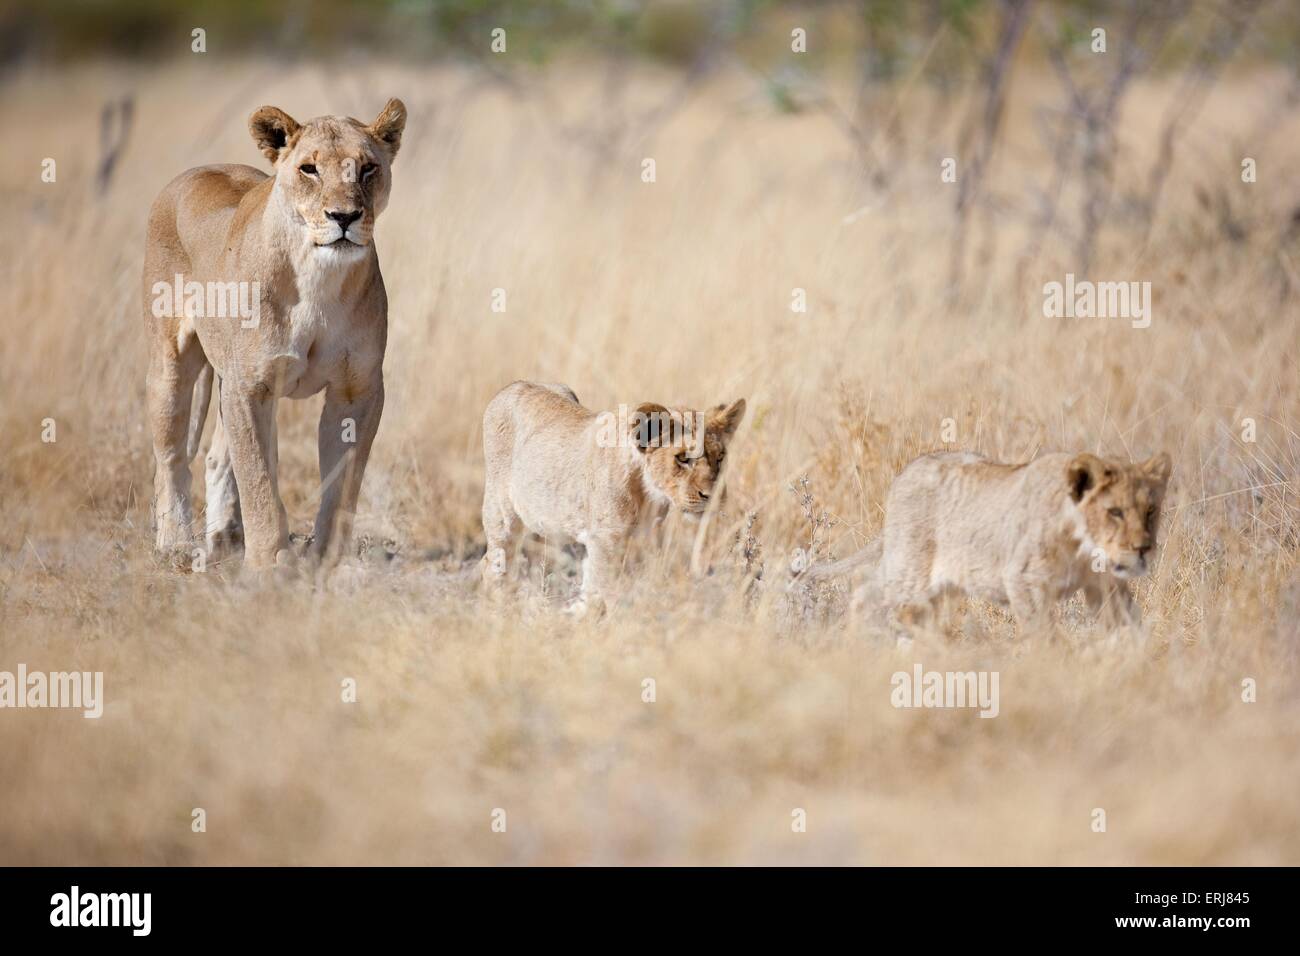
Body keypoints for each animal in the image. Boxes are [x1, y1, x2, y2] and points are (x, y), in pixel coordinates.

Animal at [142, 99, 407, 568]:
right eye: (310, 169)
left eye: (368, 168)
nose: (344, 217)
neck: (319, 276)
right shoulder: (249, 387)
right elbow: (259, 481)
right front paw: (268, 564)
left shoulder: (357, 390)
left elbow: (342, 483)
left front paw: (324, 559)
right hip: (171, 364)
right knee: (171, 454)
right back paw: (176, 543)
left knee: (217, 456)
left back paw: (224, 538)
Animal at [480, 381, 747, 613]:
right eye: (682, 458)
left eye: (720, 458)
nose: (712, 495)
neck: (647, 492)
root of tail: (513, 386)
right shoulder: (604, 540)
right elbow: (607, 592)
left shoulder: (645, 538)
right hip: (502, 516)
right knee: (493, 565)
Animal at [801, 450, 1171, 631]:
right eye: (1115, 512)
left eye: (1150, 510)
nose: (1143, 549)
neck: (1083, 546)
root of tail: (905, 473)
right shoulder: (1022, 579)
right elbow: (1044, 635)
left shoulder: (1106, 585)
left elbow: (1129, 627)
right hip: (909, 573)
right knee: (865, 590)